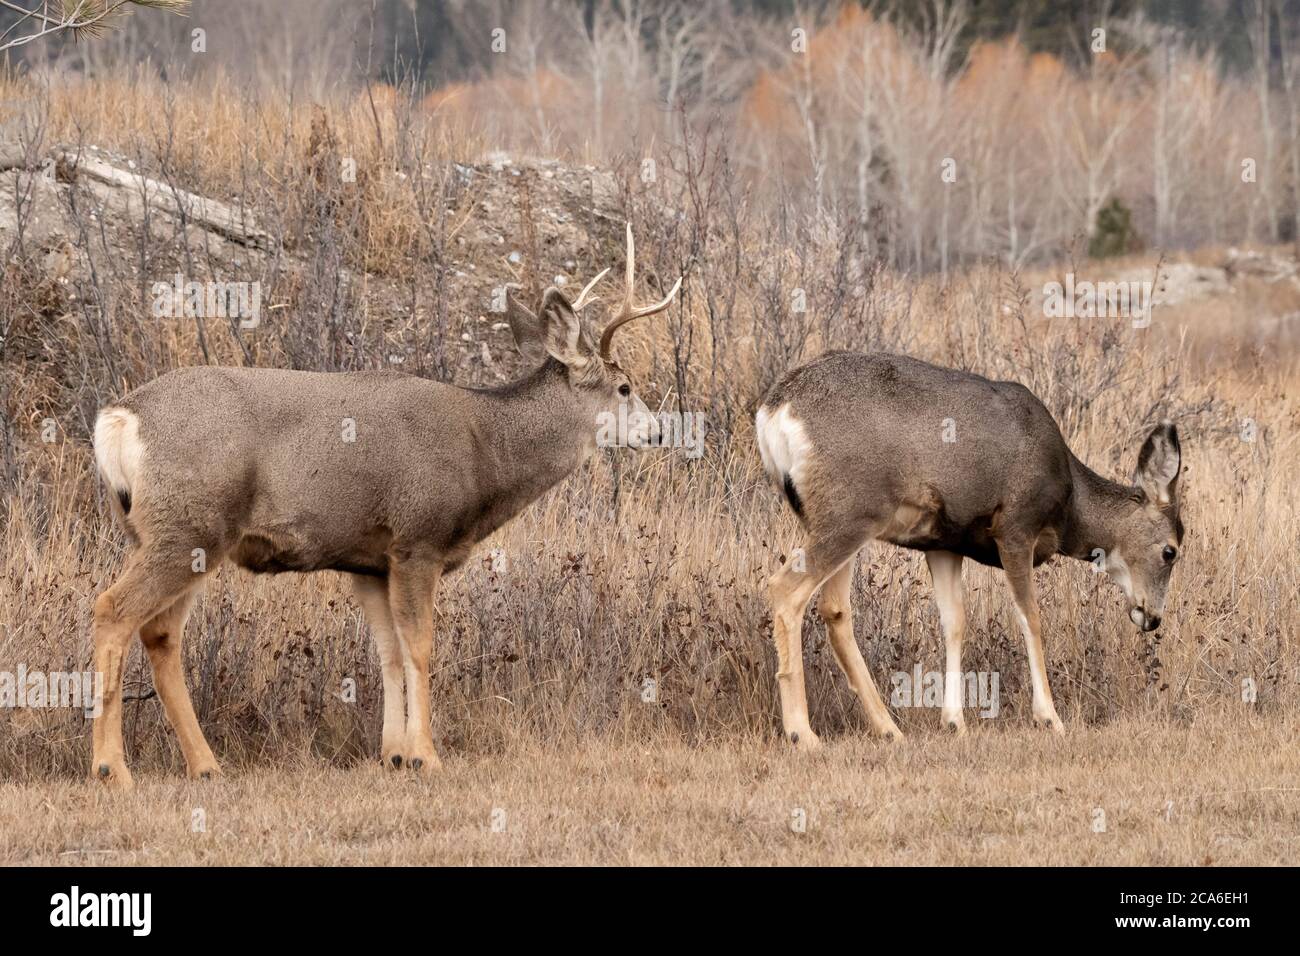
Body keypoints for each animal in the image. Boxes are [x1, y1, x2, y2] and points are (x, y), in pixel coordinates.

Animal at [88, 224, 681, 790]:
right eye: (624, 388)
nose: (658, 432)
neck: (485, 451)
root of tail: (118, 419)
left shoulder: (370, 560)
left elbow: (389, 652)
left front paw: (393, 754)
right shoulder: (419, 539)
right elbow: (420, 648)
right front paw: (426, 756)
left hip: (176, 535)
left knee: (160, 633)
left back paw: (205, 765)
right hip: (189, 526)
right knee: (112, 610)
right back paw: (112, 769)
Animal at [755, 351, 1184, 746]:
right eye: (1171, 551)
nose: (1152, 617)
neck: (1069, 503)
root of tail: (773, 411)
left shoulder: (943, 542)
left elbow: (954, 621)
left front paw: (954, 722)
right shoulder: (1015, 527)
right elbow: (1031, 618)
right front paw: (1050, 718)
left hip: (837, 520)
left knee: (834, 608)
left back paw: (889, 728)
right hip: (850, 513)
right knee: (785, 589)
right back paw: (803, 733)